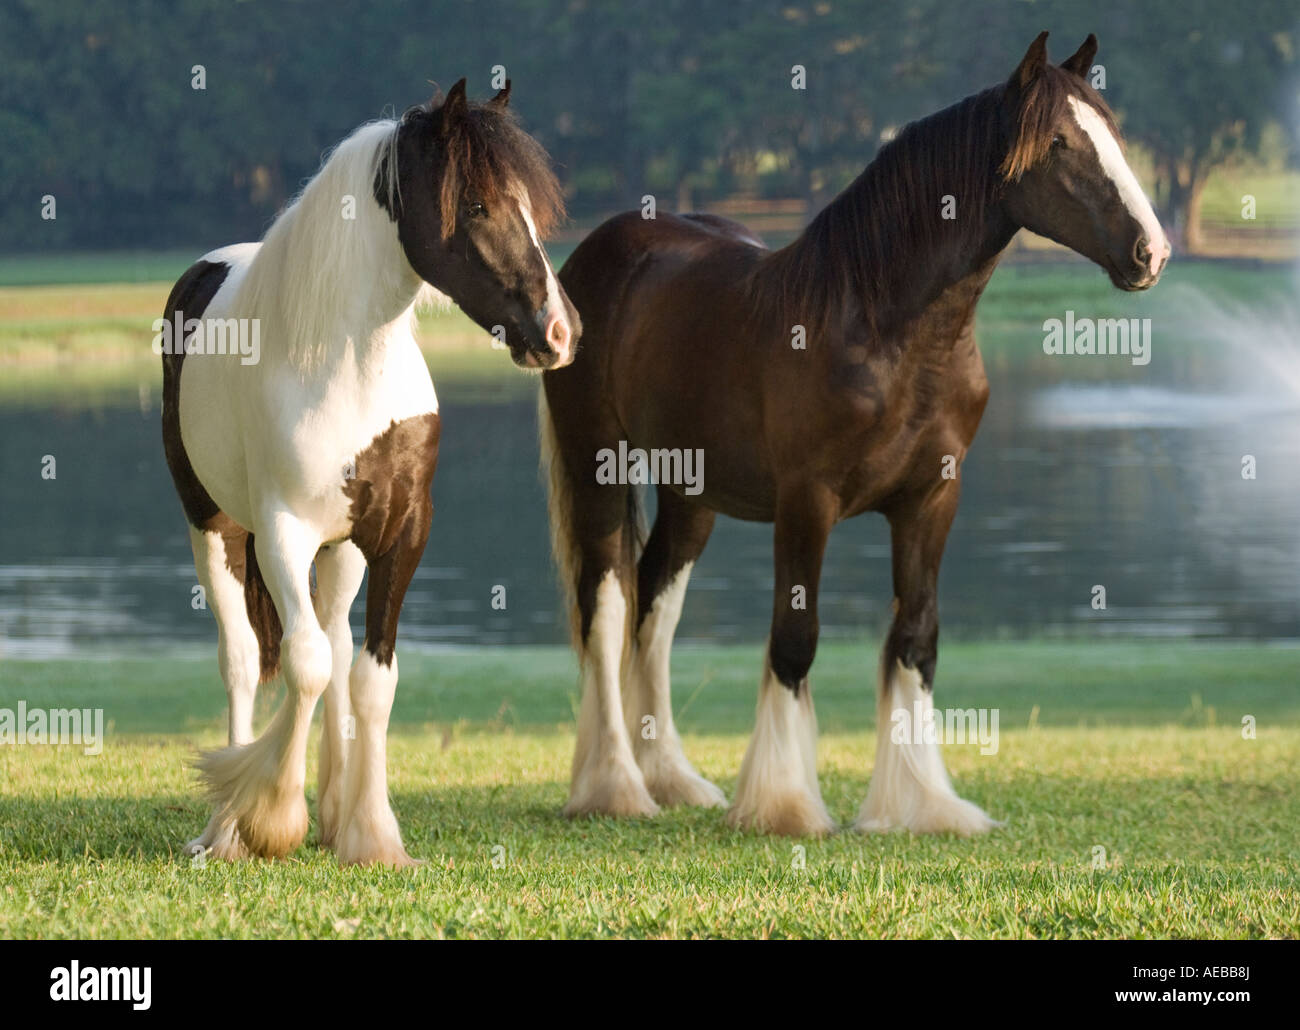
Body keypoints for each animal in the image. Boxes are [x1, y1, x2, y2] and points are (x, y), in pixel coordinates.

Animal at [162, 79, 581, 866]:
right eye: (475, 204)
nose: (560, 331)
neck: (345, 365)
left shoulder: (399, 533)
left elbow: (368, 679)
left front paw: (370, 833)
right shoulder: (283, 533)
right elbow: (302, 664)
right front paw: (270, 816)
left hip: (344, 549)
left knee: (333, 639)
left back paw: (328, 810)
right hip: (215, 529)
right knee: (243, 657)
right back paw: (223, 828)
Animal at [540, 33, 1169, 836]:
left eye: (1111, 131)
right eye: (1058, 142)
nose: (1151, 253)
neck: (886, 329)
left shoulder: (931, 500)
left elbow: (916, 639)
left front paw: (923, 805)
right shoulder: (808, 503)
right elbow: (794, 642)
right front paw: (784, 805)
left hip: (692, 493)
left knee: (655, 603)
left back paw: (672, 779)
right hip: (597, 464)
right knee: (607, 606)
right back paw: (616, 788)